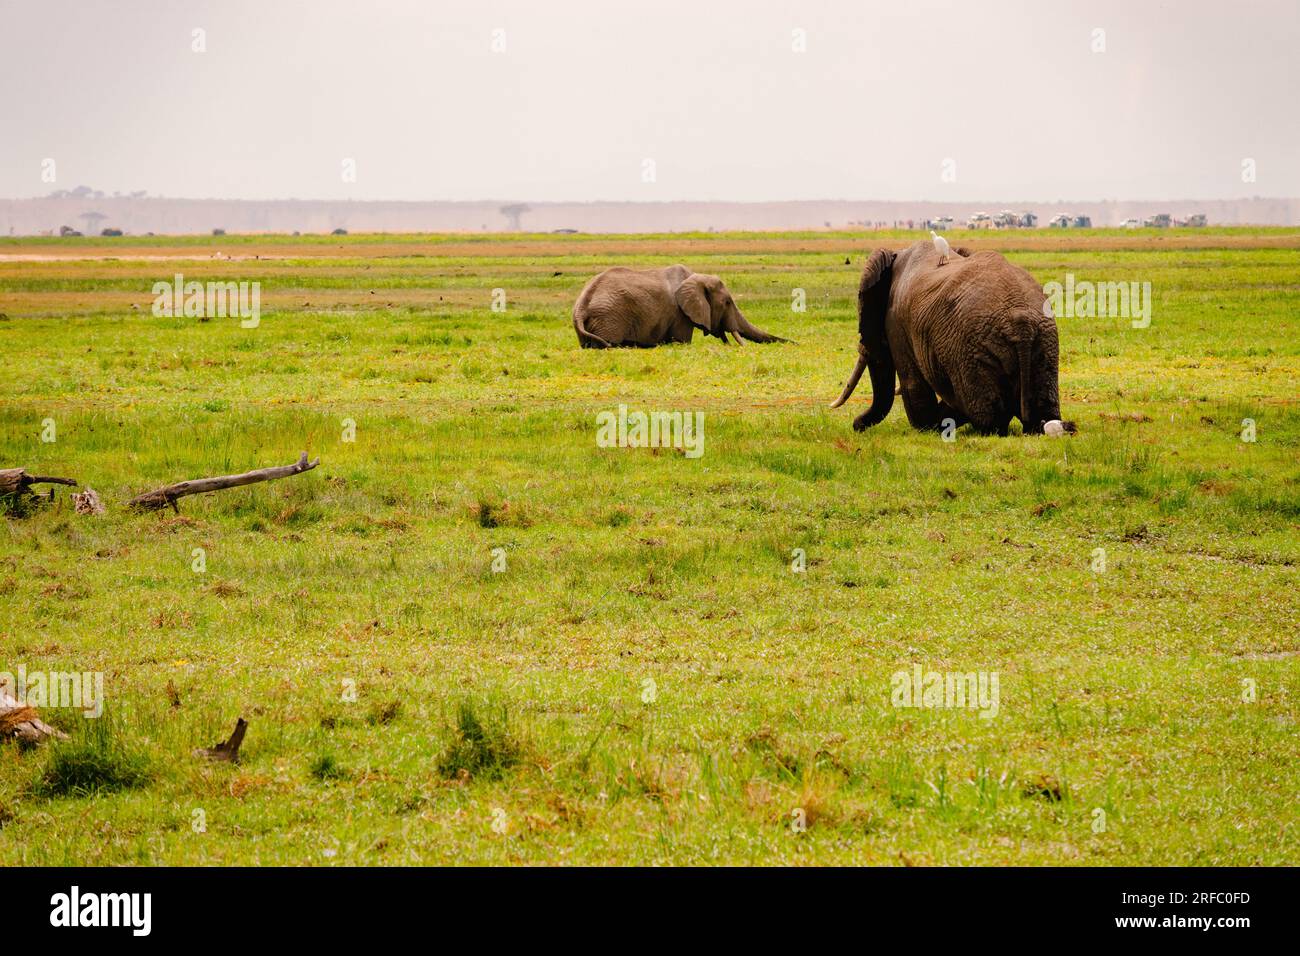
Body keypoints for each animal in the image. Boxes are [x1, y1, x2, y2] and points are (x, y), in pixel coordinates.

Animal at [573, 265, 787, 348]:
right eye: (727, 302)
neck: (696, 277)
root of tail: (581, 306)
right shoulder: (679, 313)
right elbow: (682, 341)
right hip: (609, 319)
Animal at [830, 241, 1076, 436]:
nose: (857, 426)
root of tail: (1021, 323)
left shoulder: (896, 323)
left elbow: (914, 387)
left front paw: (931, 425)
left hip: (971, 351)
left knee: (988, 417)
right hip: (1044, 344)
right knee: (1040, 411)